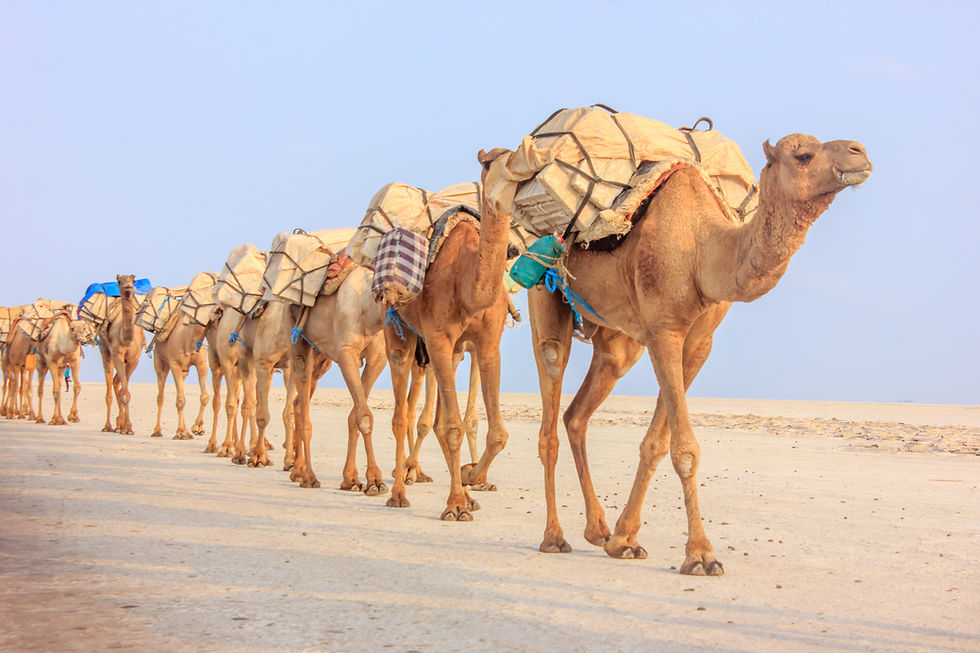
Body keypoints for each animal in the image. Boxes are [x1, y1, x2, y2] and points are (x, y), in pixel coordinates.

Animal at [96, 275, 147, 434]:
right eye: (119, 281)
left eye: (133, 280)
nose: (128, 288)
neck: (126, 338)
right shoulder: (117, 355)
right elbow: (124, 393)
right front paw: (126, 426)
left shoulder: (133, 360)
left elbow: (126, 392)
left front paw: (127, 427)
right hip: (106, 351)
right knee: (109, 388)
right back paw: (108, 426)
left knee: (116, 382)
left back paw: (119, 424)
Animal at [489, 134, 871, 574]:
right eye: (803, 155)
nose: (860, 152)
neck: (704, 250)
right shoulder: (665, 331)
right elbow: (685, 448)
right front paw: (702, 554)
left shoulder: (698, 344)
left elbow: (657, 443)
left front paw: (625, 540)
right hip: (546, 290)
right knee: (550, 400)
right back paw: (554, 537)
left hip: (618, 341)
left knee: (577, 415)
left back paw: (598, 529)